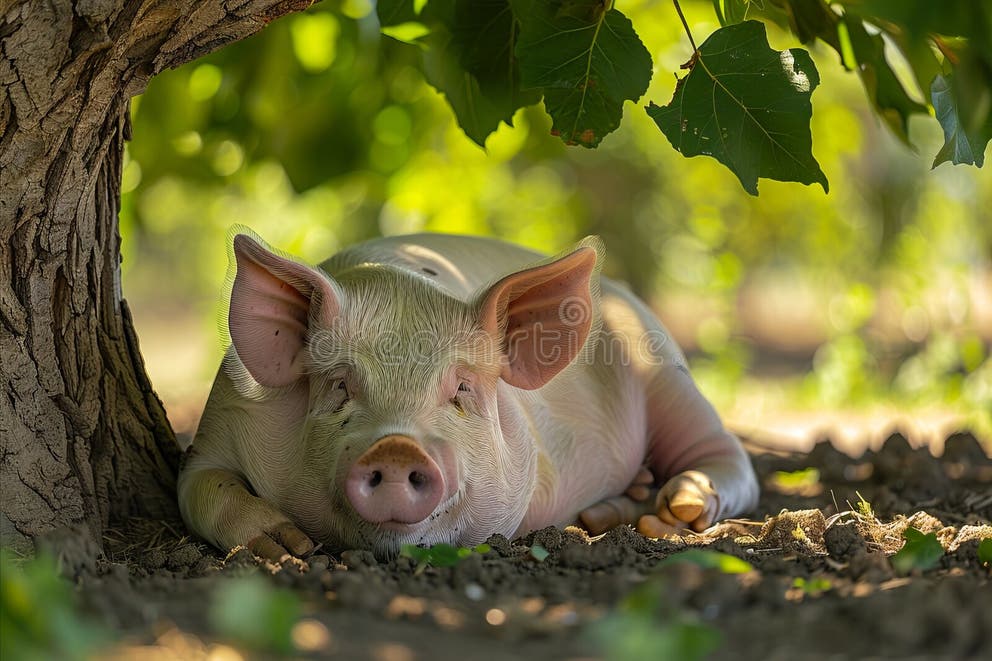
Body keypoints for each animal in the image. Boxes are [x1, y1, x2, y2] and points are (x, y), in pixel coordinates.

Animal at [178, 229, 758, 560]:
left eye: (461, 389)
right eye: (340, 385)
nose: (396, 448)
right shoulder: (222, 418)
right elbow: (201, 485)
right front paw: (285, 548)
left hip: (661, 365)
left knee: (729, 458)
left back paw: (675, 508)